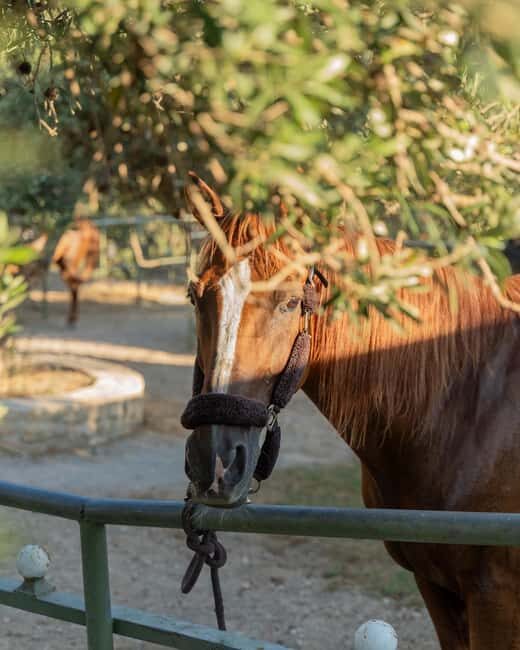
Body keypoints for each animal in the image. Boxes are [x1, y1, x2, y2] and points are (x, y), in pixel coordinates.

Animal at [181, 173, 520, 650]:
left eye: (290, 302)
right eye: (195, 296)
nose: (216, 460)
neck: (473, 407)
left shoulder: (495, 596)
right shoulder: (435, 588)